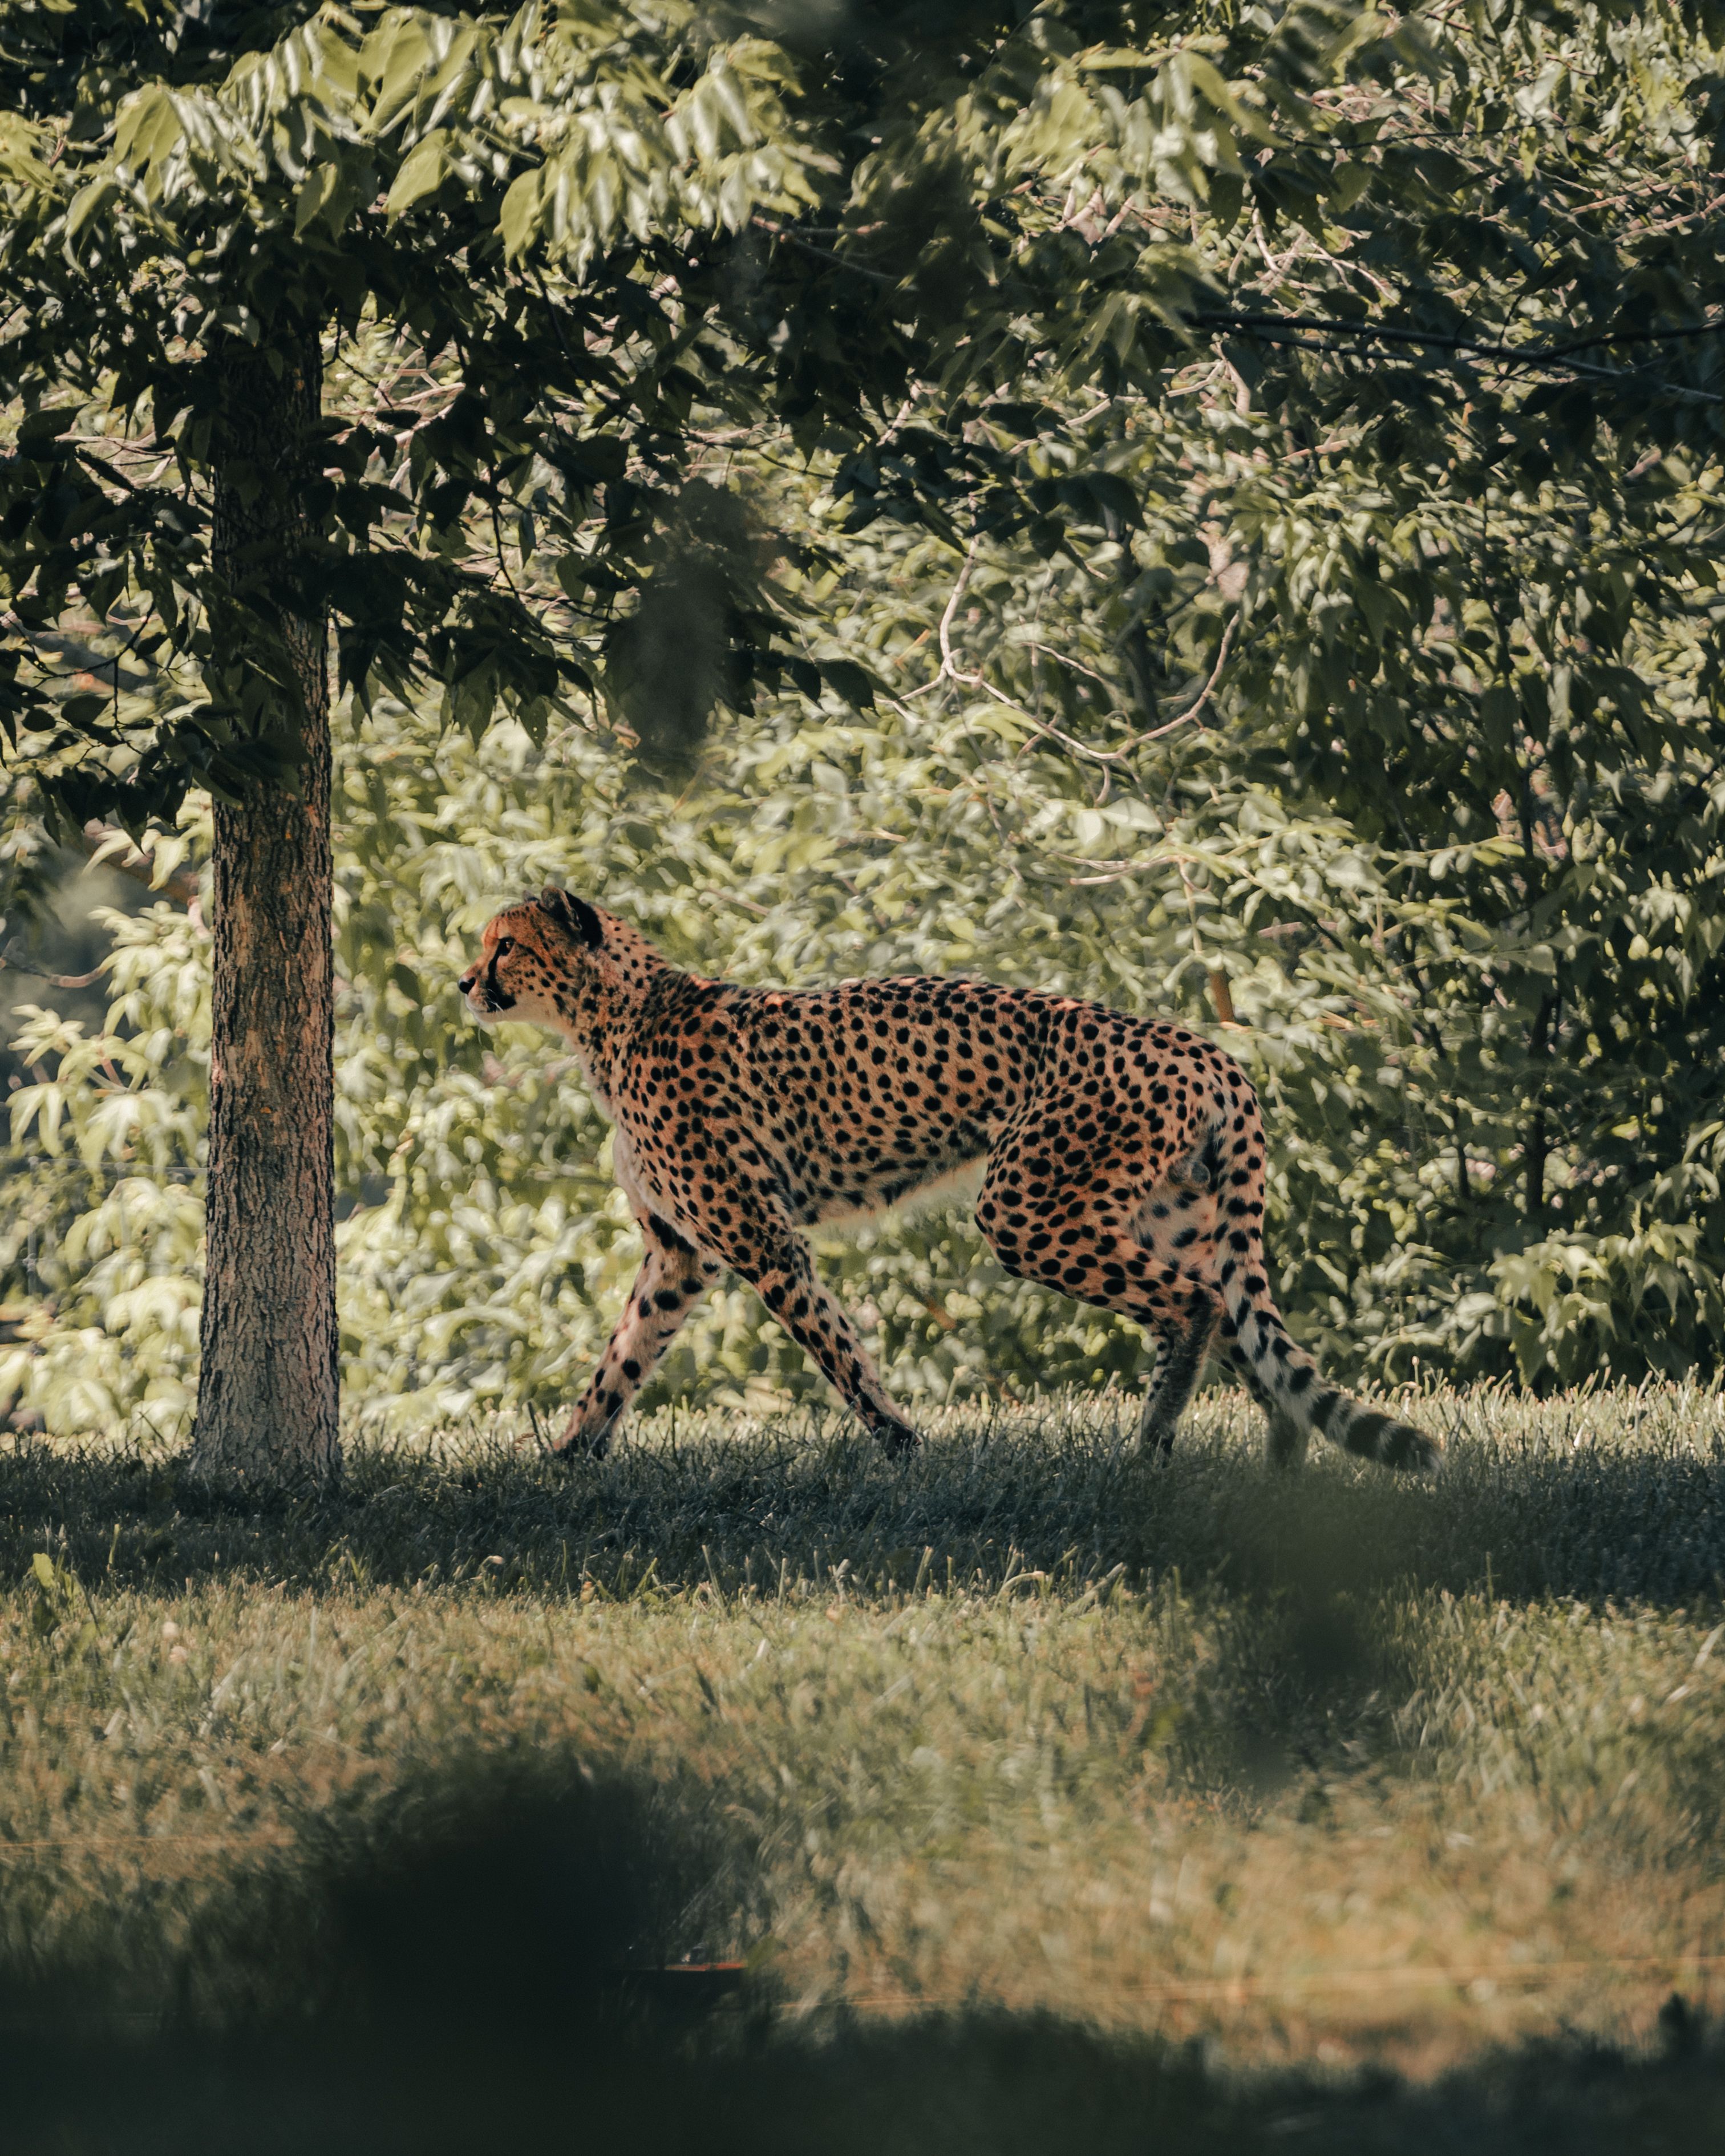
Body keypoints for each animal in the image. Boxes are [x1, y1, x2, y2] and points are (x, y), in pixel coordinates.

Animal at [457, 888, 1440, 1475]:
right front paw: (563, 1461)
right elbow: (620, 1361)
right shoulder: (679, 1254)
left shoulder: (760, 1238)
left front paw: (901, 1446)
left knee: (1191, 1306)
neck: (611, 1017)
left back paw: (1155, 1440)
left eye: (506, 947)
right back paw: (1280, 1469)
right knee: (1244, 1327)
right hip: (1170, 1214)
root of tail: (1202, 1046)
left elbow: (837, 1351)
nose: (465, 981)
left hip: (1024, 1207)